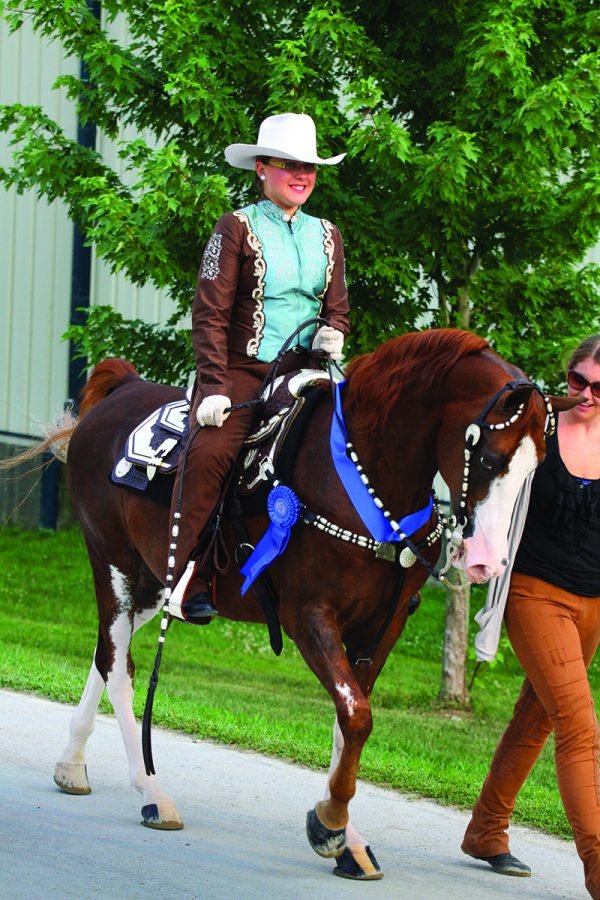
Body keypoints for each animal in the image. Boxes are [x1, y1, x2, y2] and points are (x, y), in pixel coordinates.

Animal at [17, 328, 569, 880]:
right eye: (490, 457)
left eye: (536, 466)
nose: (488, 561)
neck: (367, 477)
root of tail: (125, 390)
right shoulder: (309, 615)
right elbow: (356, 714)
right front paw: (329, 825)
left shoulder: (383, 626)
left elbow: (347, 726)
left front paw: (346, 837)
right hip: (113, 563)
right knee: (120, 667)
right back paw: (151, 791)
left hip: (153, 584)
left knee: (105, 654)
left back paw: (71, 764)